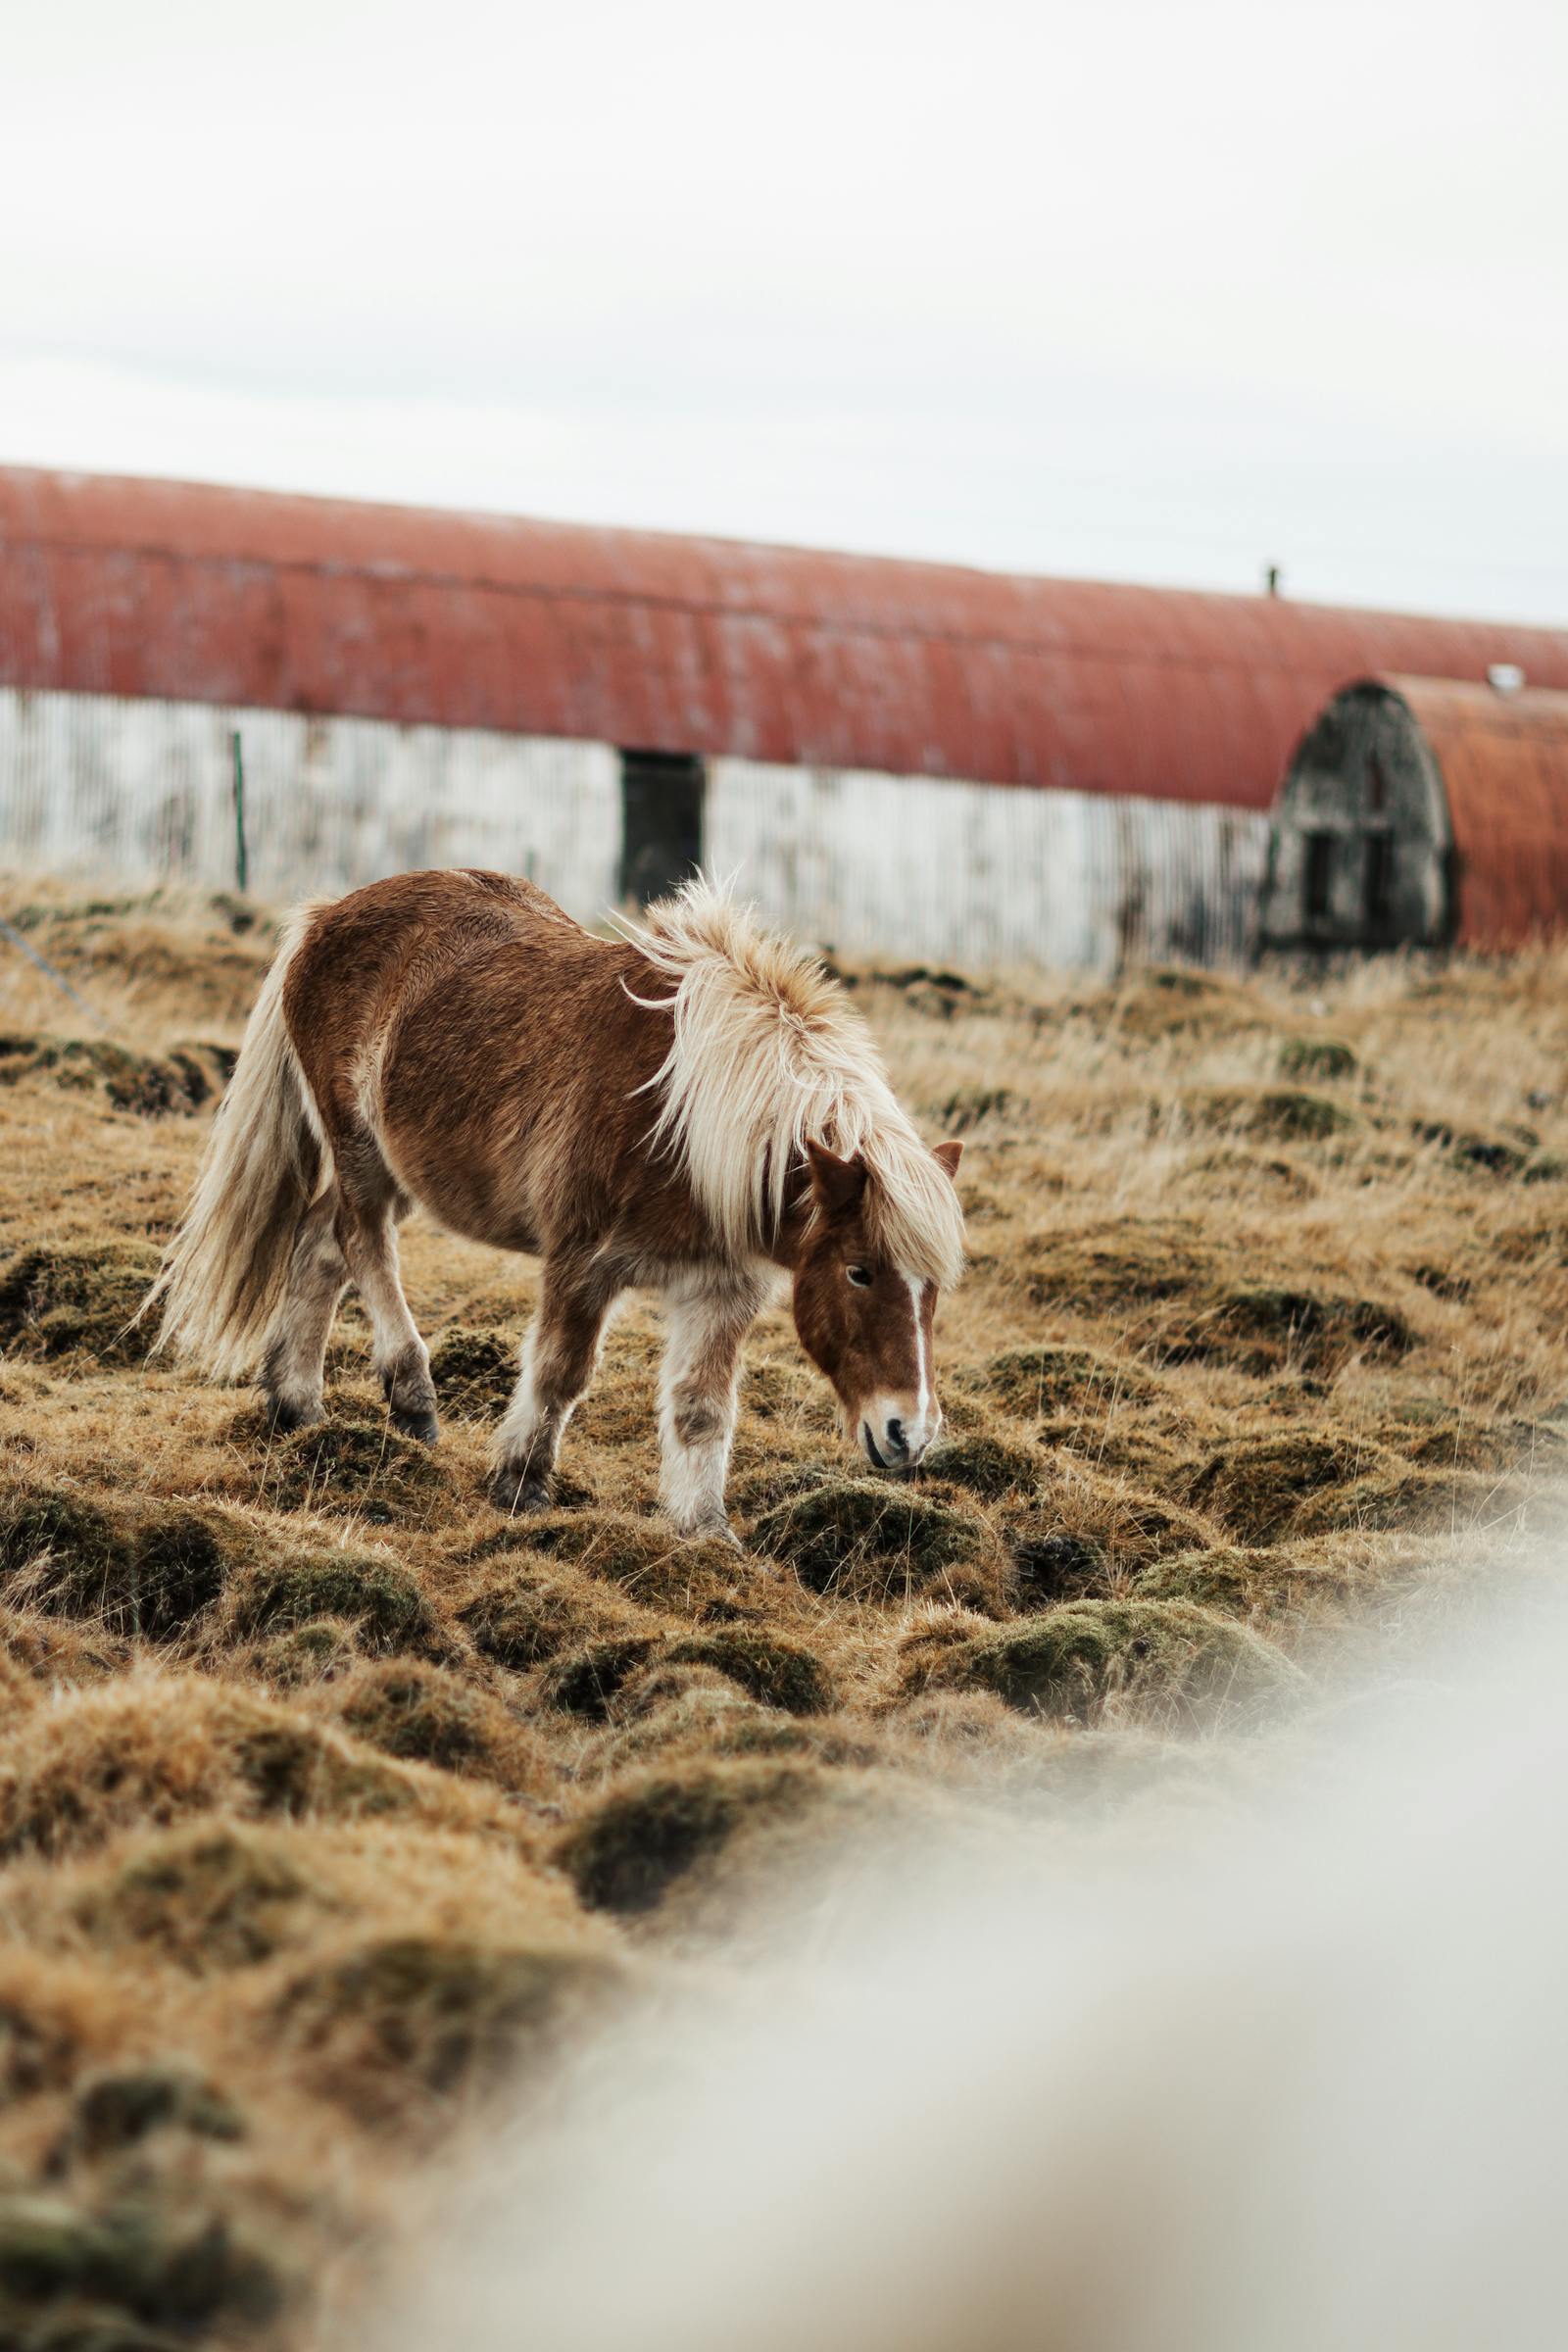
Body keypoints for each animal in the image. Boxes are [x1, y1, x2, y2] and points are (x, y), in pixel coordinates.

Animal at [143, 869, 966, 1544]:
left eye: (933, 1291)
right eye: (860, 1271)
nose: (910, 1435)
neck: (688, 1120)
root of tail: (326, 916)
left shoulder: (721, 1289)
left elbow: (703, 1408)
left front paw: (706, 1532)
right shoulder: (583, 1262)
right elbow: (562, 1374)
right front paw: (521, 1486)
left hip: (402, 1170)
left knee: (319, 1246)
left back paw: (297, 1406)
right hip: (361, 1154)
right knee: (359, 1242)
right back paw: (411, 1398)